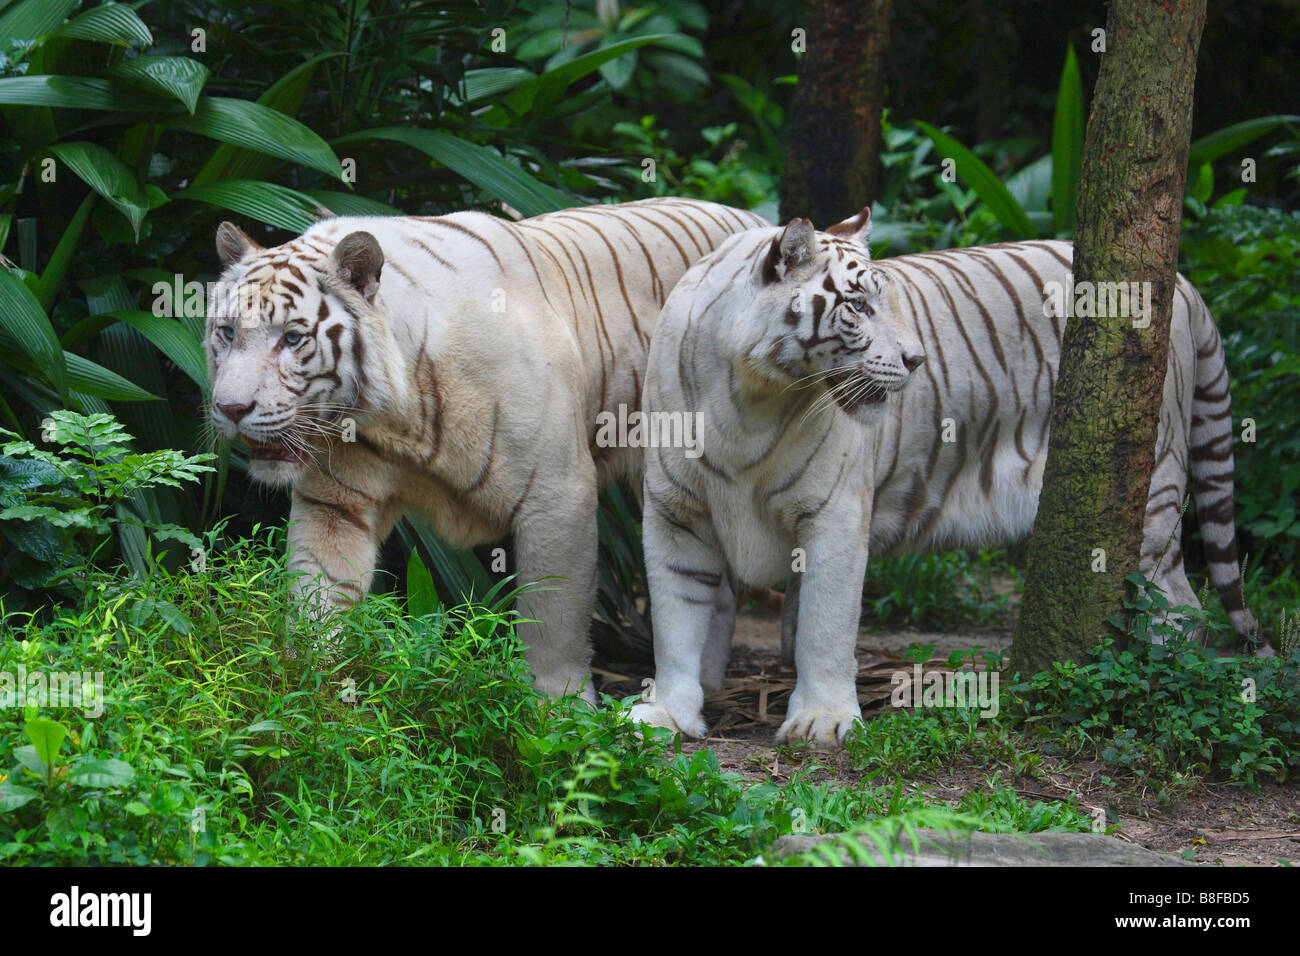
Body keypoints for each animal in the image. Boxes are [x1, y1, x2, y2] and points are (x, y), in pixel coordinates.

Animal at [205, 197, 767, 700]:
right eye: (227, 333)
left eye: (292, 338)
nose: (230, 408)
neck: (393, 417)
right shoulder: (335, 503)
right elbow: (316, 595)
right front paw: (305, 688)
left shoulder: (558, 497)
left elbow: (553, 619)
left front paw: (558, 709)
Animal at [630, 208, 1255, 747]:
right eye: (857, 307)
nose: (916, 360)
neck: (750, 396)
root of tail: (1182, 283)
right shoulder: (675, 514)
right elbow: (675, 619)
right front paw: (668, 713)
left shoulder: (833, 515)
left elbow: (825, 625)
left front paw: (821, 722)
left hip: (1149, 495)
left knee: (1183, 606)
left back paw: (1162, 684)